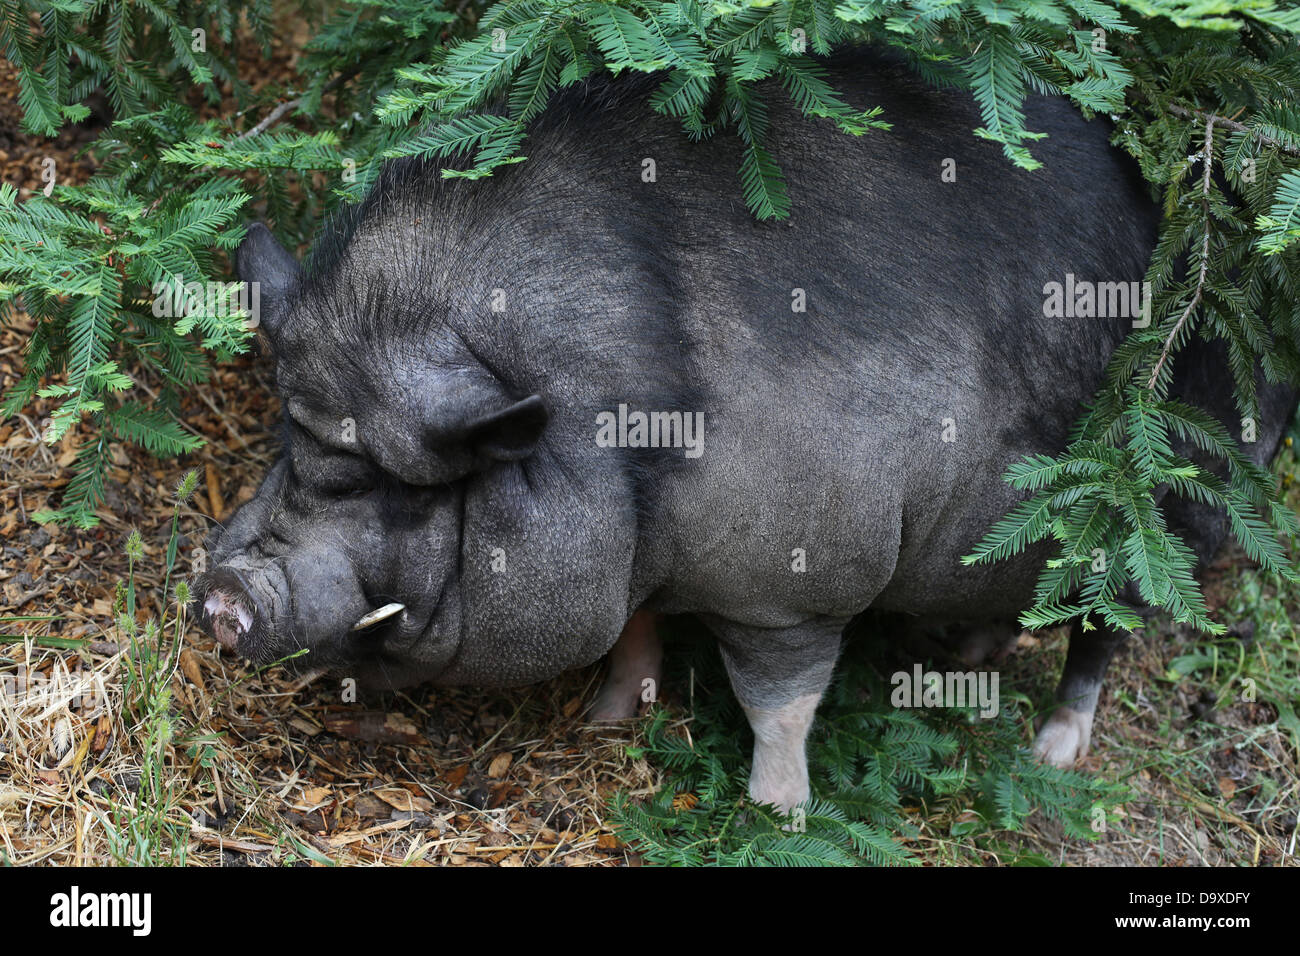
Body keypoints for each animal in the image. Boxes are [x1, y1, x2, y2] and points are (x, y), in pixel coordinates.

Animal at [194, 48, 1297, 813]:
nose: (221, 595)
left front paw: (781, 814)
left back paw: (1051, 751)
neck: (625, 425)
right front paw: (611, 717)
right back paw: (969, 650)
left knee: (1107, 631)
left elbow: (781, 701)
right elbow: (636, 628)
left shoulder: (793, 580)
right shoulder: (644, 555)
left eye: (400, 489)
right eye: (292, 445)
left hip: (1161, 518)